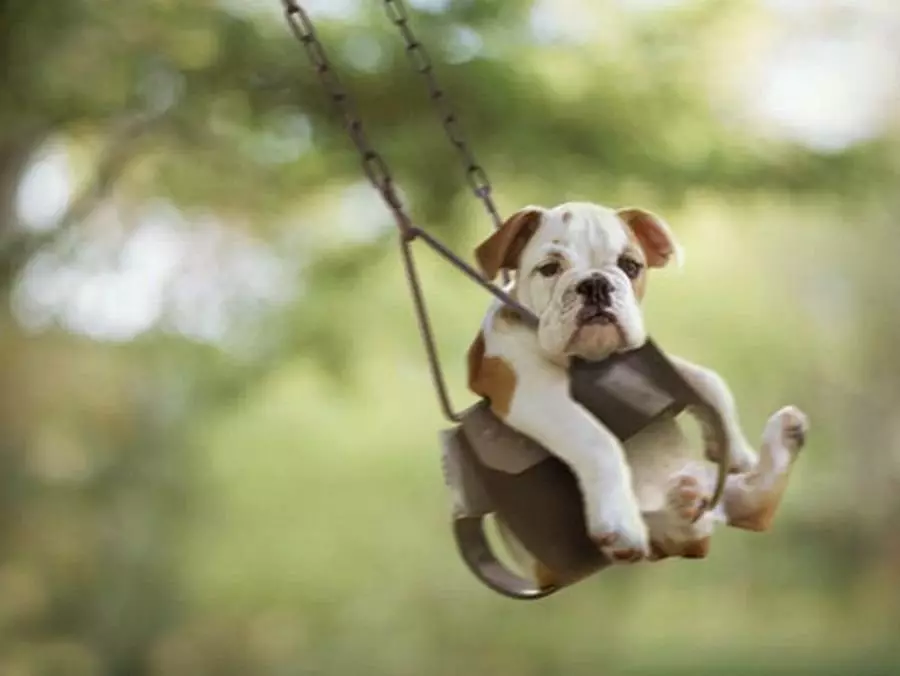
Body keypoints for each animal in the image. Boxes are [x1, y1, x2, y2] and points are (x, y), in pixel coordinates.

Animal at [468, 202, 812, 572]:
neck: (589, 358)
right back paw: (675, 508)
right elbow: (597, 439)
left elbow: (709, 382)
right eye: (549, 269)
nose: (596, 284)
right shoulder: (531, 389)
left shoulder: (649, 363)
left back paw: (781, 441)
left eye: (630, 266)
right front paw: (619, 523)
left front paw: (736, 450)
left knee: (751, 507)